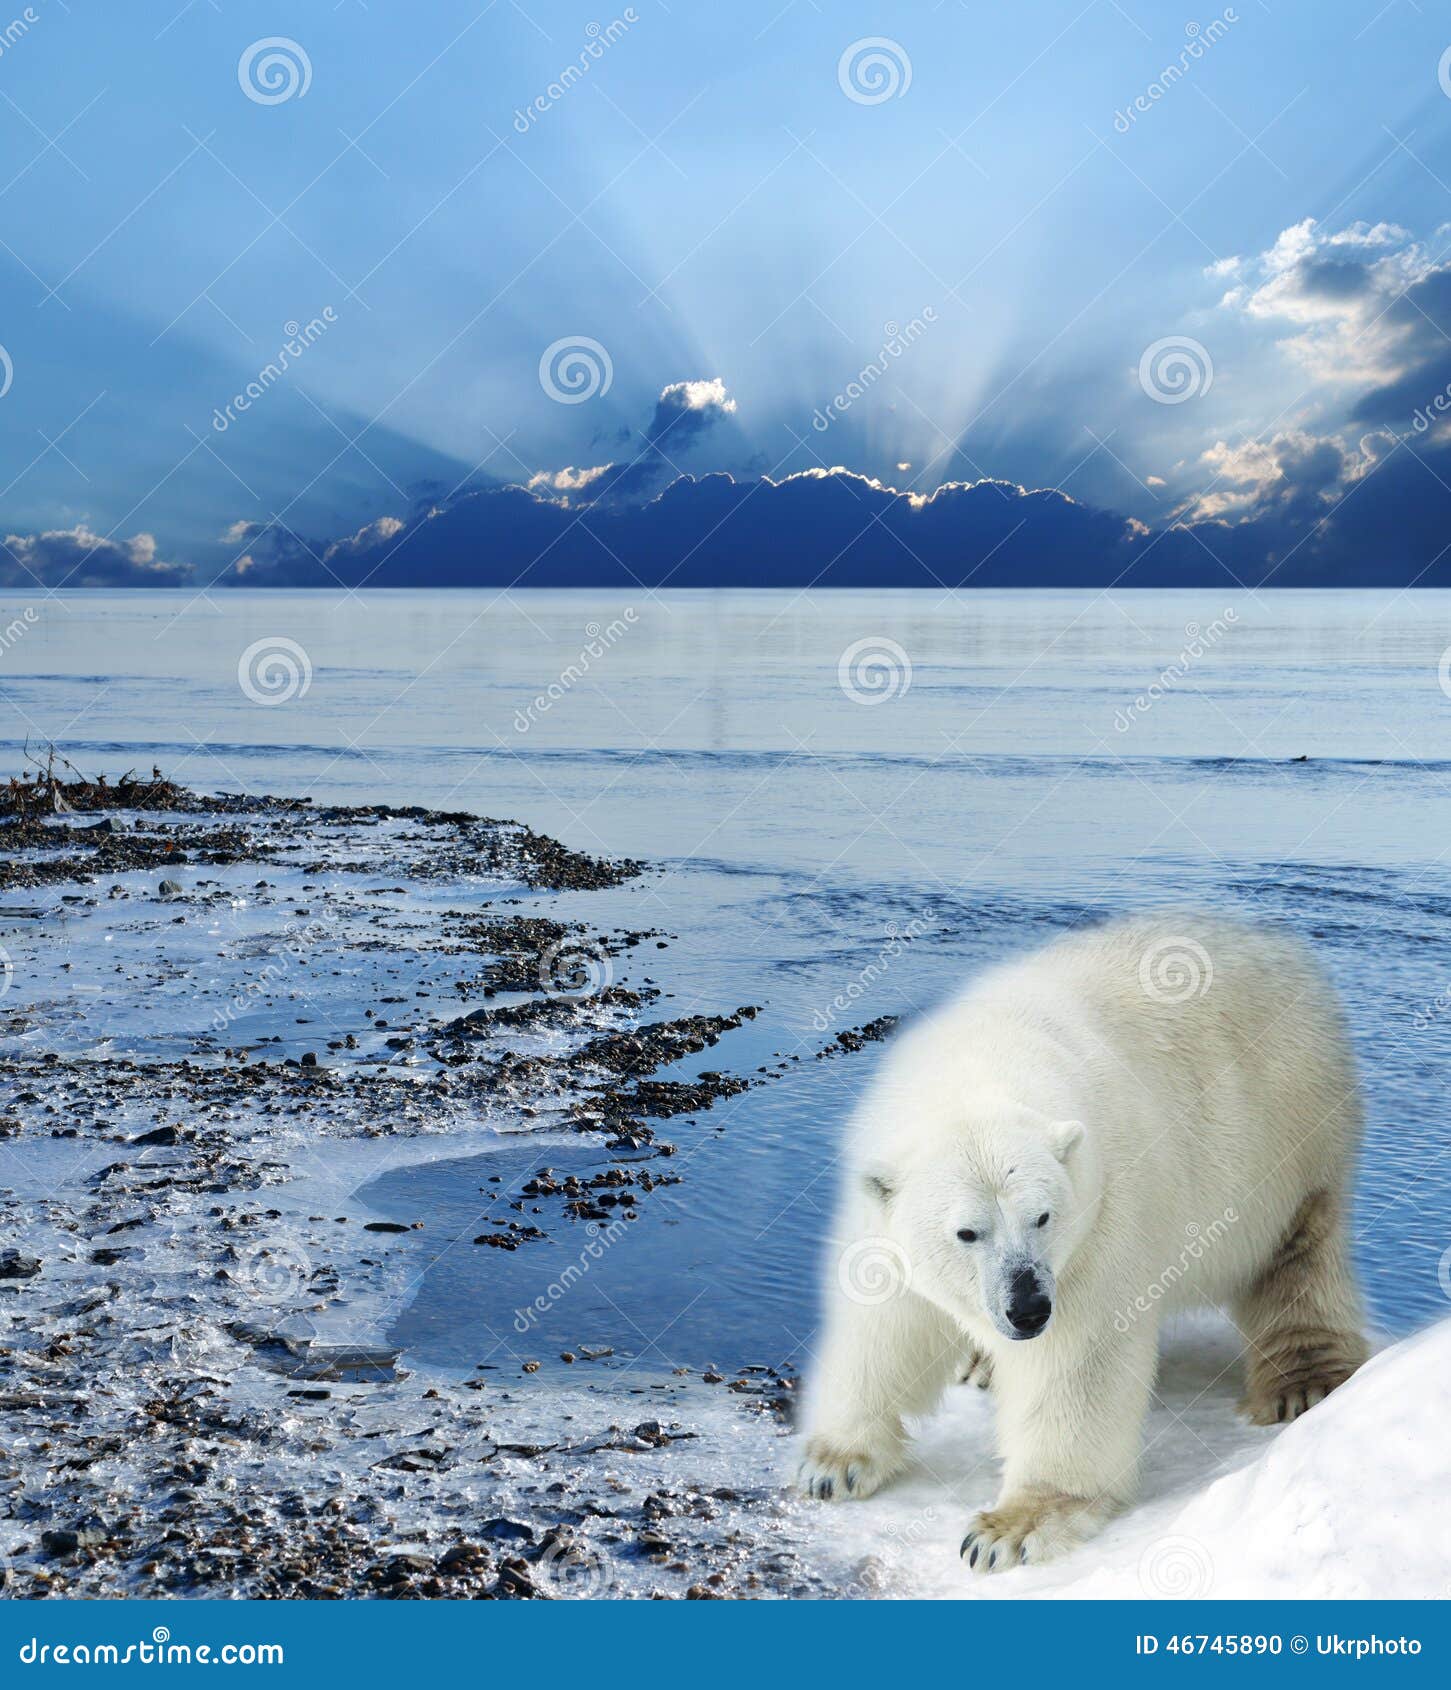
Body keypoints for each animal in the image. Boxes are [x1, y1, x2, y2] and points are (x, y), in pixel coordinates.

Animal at [798, 911, 1367, 1574]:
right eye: (967, 1231)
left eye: (1043, 1216)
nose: (1027, 1309)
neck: (978, 1069)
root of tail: (1277, 941)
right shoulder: (881, 1209)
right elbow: (883, 1324)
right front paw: (832, 1464)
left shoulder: (1101, 1218)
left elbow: (1076, 1364)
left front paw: (1009, 1528)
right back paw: (979, 1364)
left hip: (1286, 1139)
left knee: (1297, 1257)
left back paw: (1303, 1383)